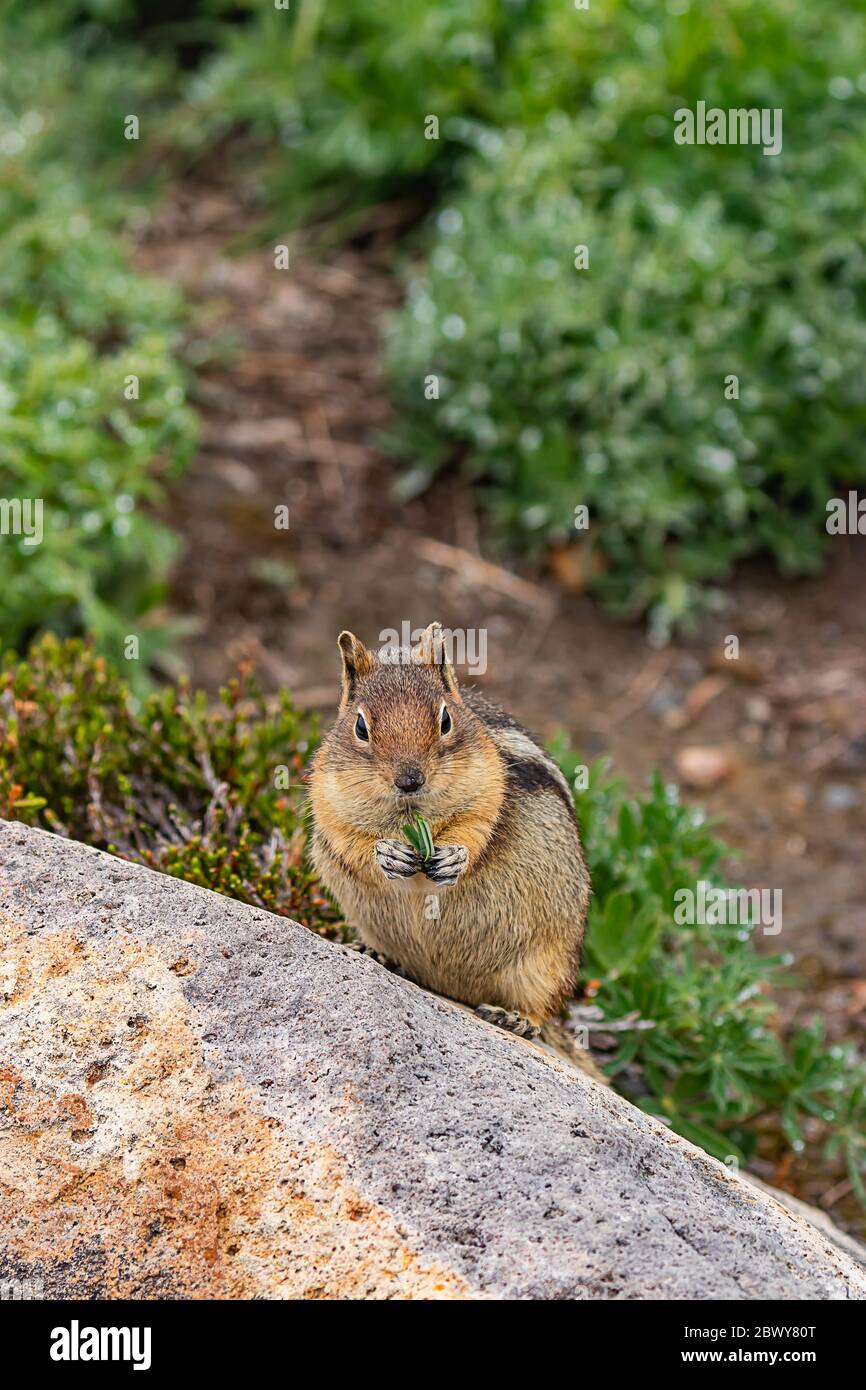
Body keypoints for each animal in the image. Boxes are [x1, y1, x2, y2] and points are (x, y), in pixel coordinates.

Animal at [308, 622, 599, 1076]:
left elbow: (476, 827)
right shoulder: (328, 802)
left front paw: (453, 857)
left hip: (549, 962)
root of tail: (452, 988)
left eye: (444, 720)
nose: (410, 780)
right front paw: (386, 855)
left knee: (544, 1007)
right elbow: (350, 841)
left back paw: (516, 1018)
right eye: (360, 727)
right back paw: (376, 953)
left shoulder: (489, 788)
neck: (411, 820)